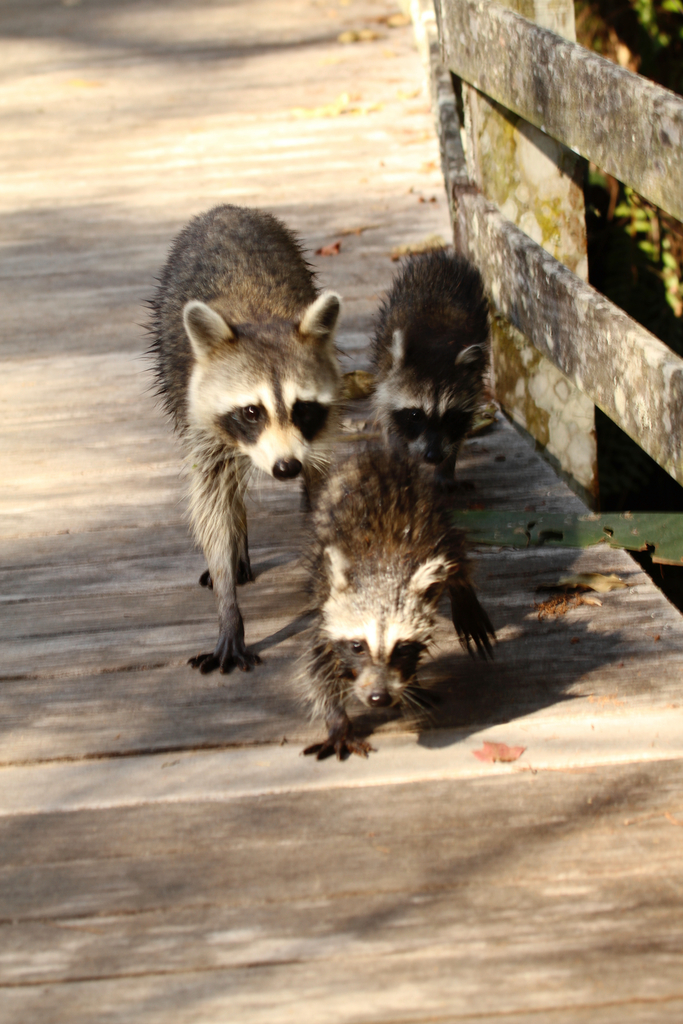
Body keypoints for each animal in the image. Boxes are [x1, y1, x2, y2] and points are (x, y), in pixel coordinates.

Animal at [148, 204, 342, 674]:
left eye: (302, 408)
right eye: (252, 411)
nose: (286, 467)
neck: (261, 318)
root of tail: (226, 209)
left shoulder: (318, 436)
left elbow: (322, 492)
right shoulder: (203, 427)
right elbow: (211, 505)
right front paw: (228, 609)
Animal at [301, 448, 494, 759]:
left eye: (403, 648)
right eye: (357, 646)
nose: (379, 697)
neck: (381, 569)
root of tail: (376, 454)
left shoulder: (429, 542)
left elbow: (455, 559)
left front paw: (410, 681)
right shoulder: (324, 603)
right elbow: (319, 664)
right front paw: (338, 721)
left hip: (431, 508)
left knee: (456, 549)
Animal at [372, 249, 489, 487]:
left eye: (451, 416)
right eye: (415, 415)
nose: (433, 456)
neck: (435, 345)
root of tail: (442, 256)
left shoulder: (474, 382)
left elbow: (457, 434)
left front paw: (445, 471)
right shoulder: (385, 374)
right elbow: (390, 424)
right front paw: (399, 463)